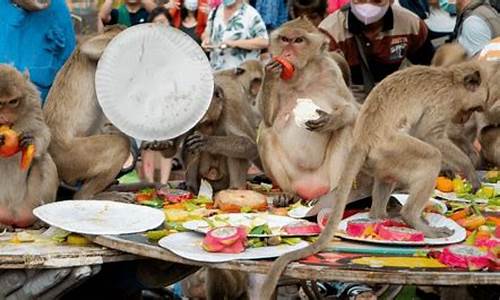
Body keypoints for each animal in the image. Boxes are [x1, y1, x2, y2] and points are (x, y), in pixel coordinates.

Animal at [0, 65, 58, 230]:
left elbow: (42, 131)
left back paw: (40, 221)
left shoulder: (32, 102)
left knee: (45, 159)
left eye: (13, 101)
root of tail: (13, 215)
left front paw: (31, 140)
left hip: (30, 203)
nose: (3, 117)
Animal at [258, 16, 372, 209]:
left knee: (346, 128)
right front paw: (272, 72)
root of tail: (311, 189)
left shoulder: (331, 70)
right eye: (285, 39)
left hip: (324, 179)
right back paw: (288, 194)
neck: (302, 76)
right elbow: (268, 120)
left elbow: (351, 109)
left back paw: (334, 194)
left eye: (298, 40)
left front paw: (330, 120)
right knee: (266, 133)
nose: (286, 55)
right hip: (295, 179)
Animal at [258, 61, 496, 300]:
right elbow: (430, 135)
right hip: (390, 148)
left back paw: (380, 215)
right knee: (430, 157)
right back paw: (411, 217)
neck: (450, 79)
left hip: (380, 159)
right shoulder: (444, 102)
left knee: (386, 176)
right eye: (473, 109)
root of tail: (361, 140)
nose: (464, 120)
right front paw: (469, 169)